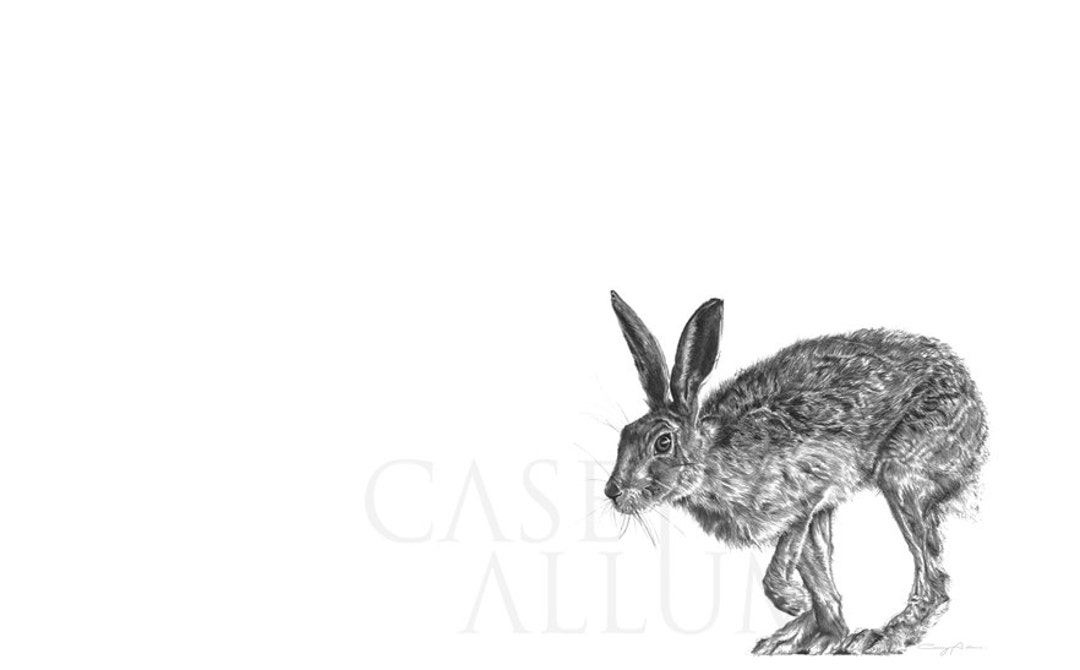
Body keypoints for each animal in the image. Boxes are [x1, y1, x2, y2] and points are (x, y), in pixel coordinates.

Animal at [604, 291, 987, 655]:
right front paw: (814, 633)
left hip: (902, 476)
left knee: (933, 579)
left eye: (663, 442)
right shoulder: (813, 513)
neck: (710, 456)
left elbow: (776, 578)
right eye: (624, 435)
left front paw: (800, 609)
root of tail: (972, 399)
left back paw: (884, 637)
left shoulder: (803, 498)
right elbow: (818, 574)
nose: (613, 491)